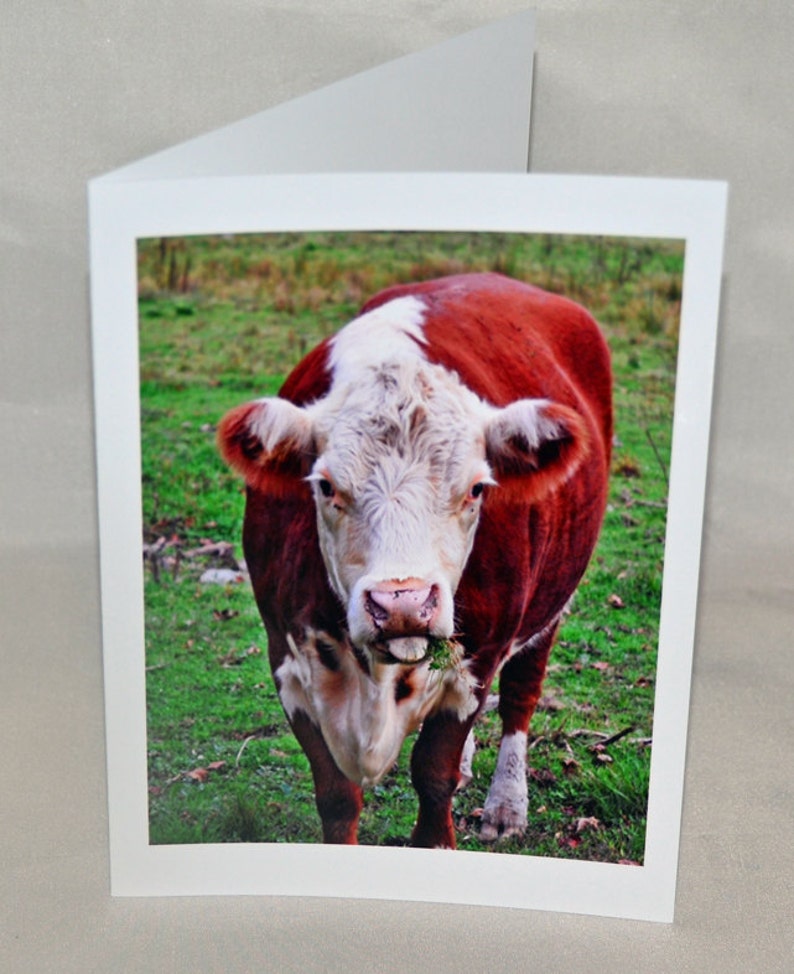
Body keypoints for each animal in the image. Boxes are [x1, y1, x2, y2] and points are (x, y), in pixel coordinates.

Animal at [219, 272, 612, 849]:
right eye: (325, 486)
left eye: (476, 488)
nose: (402, 604)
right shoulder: (288, 661)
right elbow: (336, 794)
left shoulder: (480, 655)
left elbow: (433, 770)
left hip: (552, 602)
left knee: (521, 693)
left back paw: (506, 805)